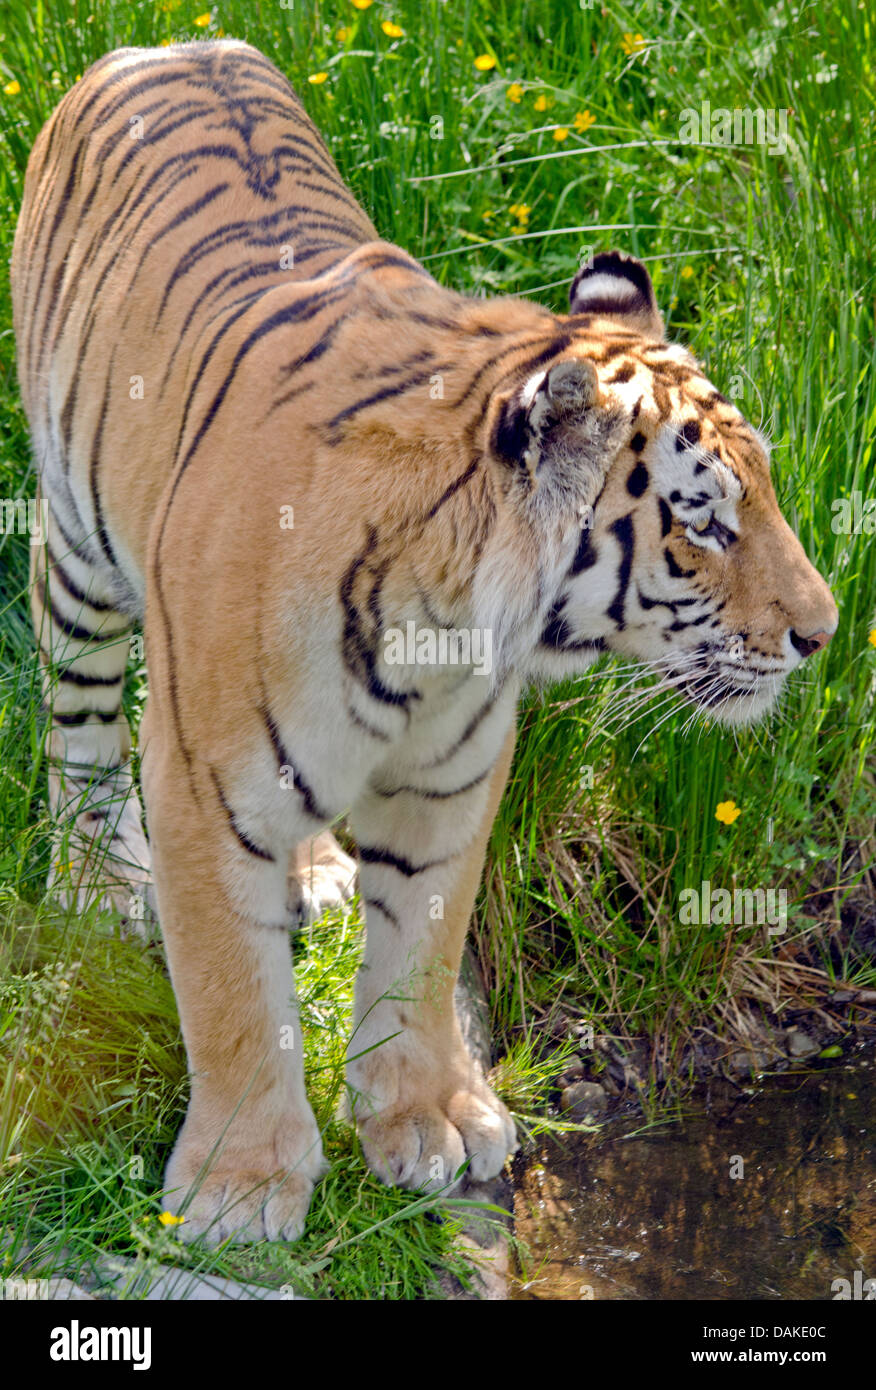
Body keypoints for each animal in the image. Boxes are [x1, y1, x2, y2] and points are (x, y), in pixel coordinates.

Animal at [11, 39, 837, 1245]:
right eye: (704, 523)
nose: (824, 633)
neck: (442, 638)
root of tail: (172, 42)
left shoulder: (454, 772)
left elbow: (424, 941)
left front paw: (430, 1117)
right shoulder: (197, 780)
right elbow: (228, 986)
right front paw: (240, 1187)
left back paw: (312, 869)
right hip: (76, 550)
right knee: (75, 714)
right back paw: (92, 874)